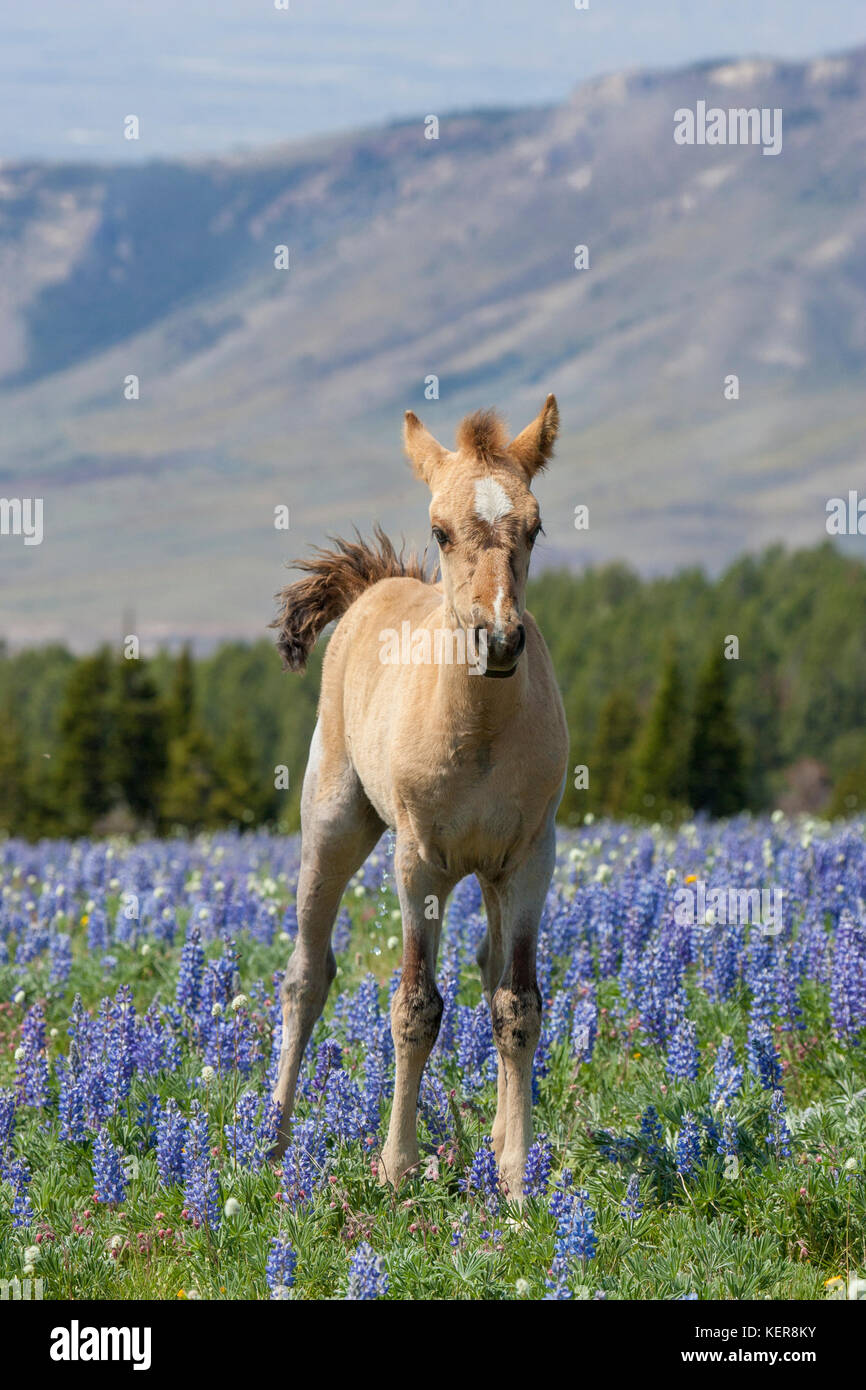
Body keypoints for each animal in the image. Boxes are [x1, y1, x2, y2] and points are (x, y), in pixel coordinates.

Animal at [269, 395, 569, 1199]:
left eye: (535, 526)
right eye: (440, 528)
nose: (499, 640)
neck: (478, 730)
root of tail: (373, 585)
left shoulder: (529, 859)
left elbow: (517, 1004)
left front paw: (517, 1176)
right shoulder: (419, 862)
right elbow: (414, 1005)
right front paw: (397, 1167)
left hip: (490, 876)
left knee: (490, 971)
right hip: (333, 825)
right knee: (307, 974)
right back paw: (272, 1141)